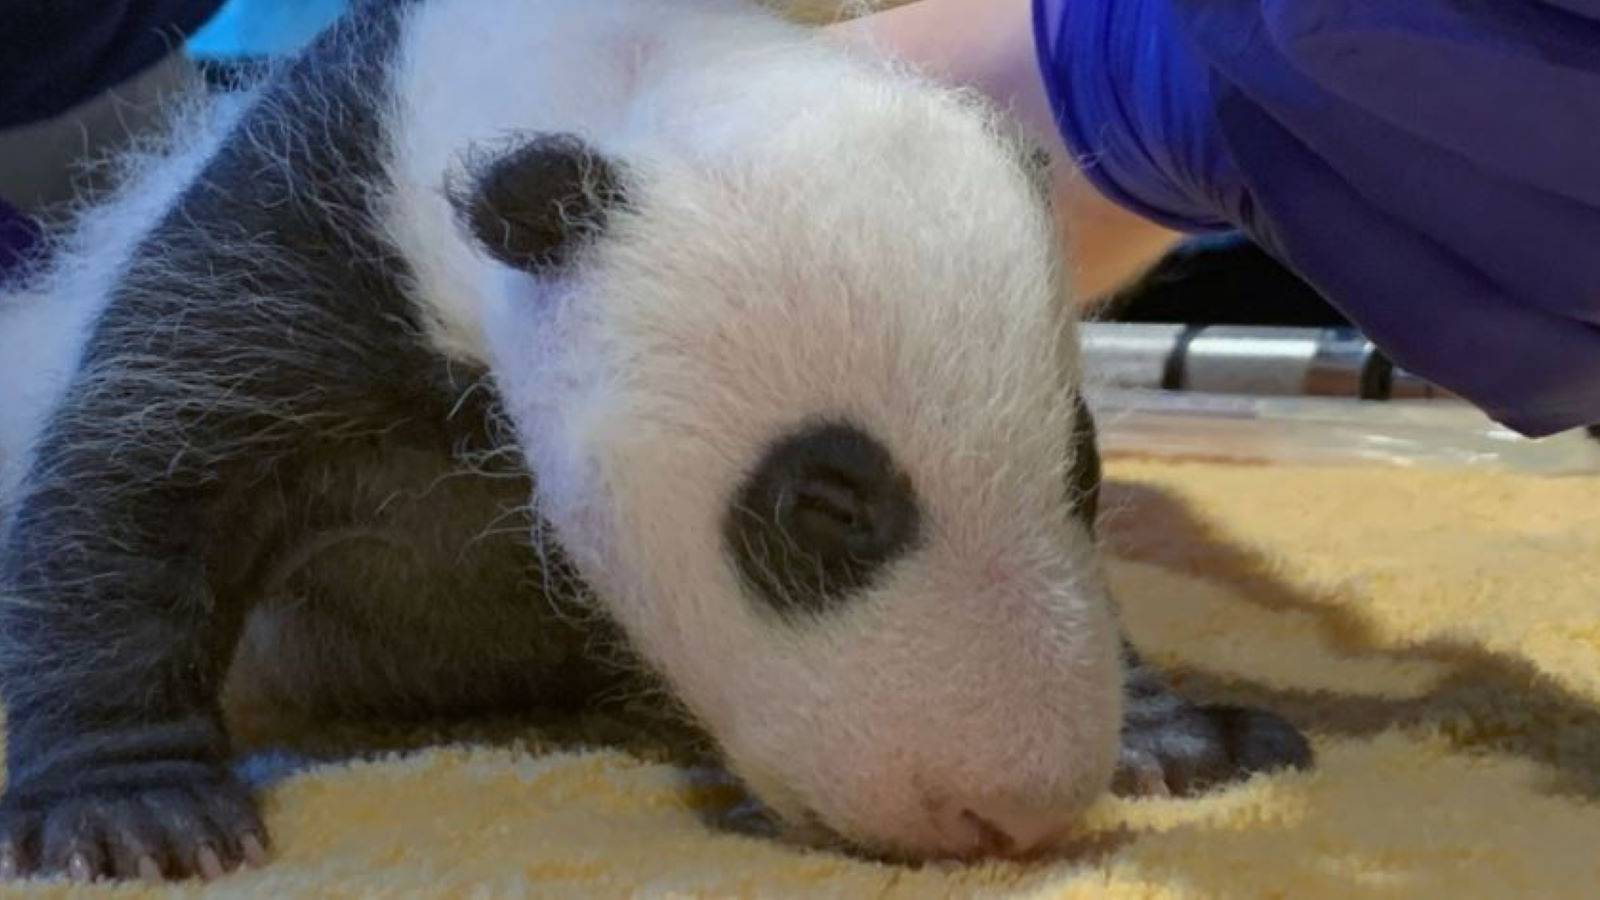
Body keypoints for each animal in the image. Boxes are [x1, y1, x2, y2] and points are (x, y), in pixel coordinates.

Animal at [0, 0, 1309, 882]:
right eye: (823, 512)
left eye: (1081, 476)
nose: (1012, 814)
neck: (632, 55)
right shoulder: (321, 228)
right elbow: (147, 472)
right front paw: (134, 813)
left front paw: (1171, 733)